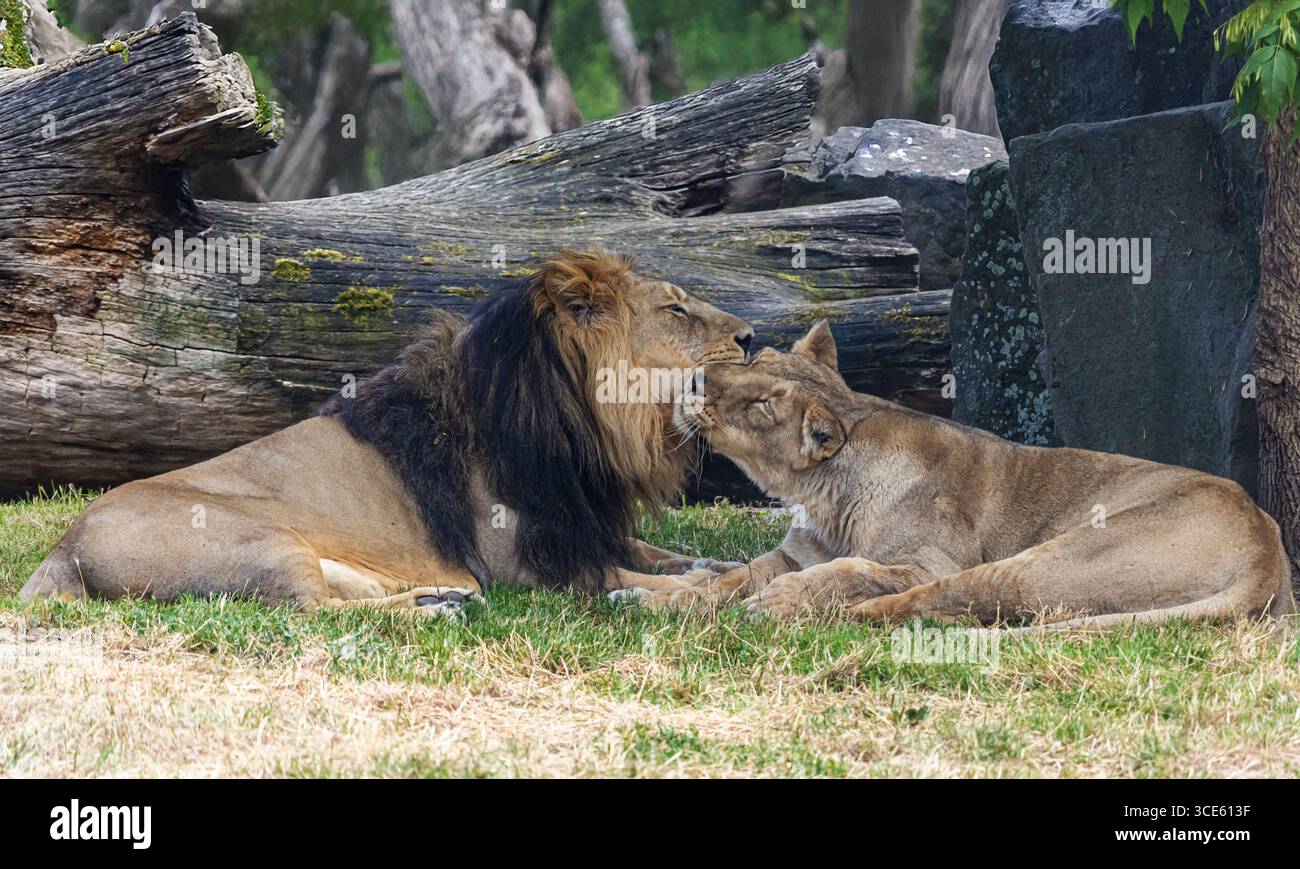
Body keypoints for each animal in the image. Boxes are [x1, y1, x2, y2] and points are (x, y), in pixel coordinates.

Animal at [21, 249, 753, 614]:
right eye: (675, 309)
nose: (749, 338)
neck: (587, 426)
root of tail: (61, 547)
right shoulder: (521, 563)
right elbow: (637, 578)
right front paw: (705, 591)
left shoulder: (578, 526)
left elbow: (662, 554)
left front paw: (723, 568)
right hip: (263, 542)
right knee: (311, 614)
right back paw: (432, 610)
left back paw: (437, 595)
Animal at [630, 321, 1296, 629]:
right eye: (756, 357)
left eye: (765, 405)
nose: (694, 380)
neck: (821, 496)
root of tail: (1266, 546)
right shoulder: (792, 552)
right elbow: (727, 578)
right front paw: (655, 596)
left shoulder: (927, 559)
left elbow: (855, 570)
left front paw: (780, 597)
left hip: (1050, 560)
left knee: (937, 600)